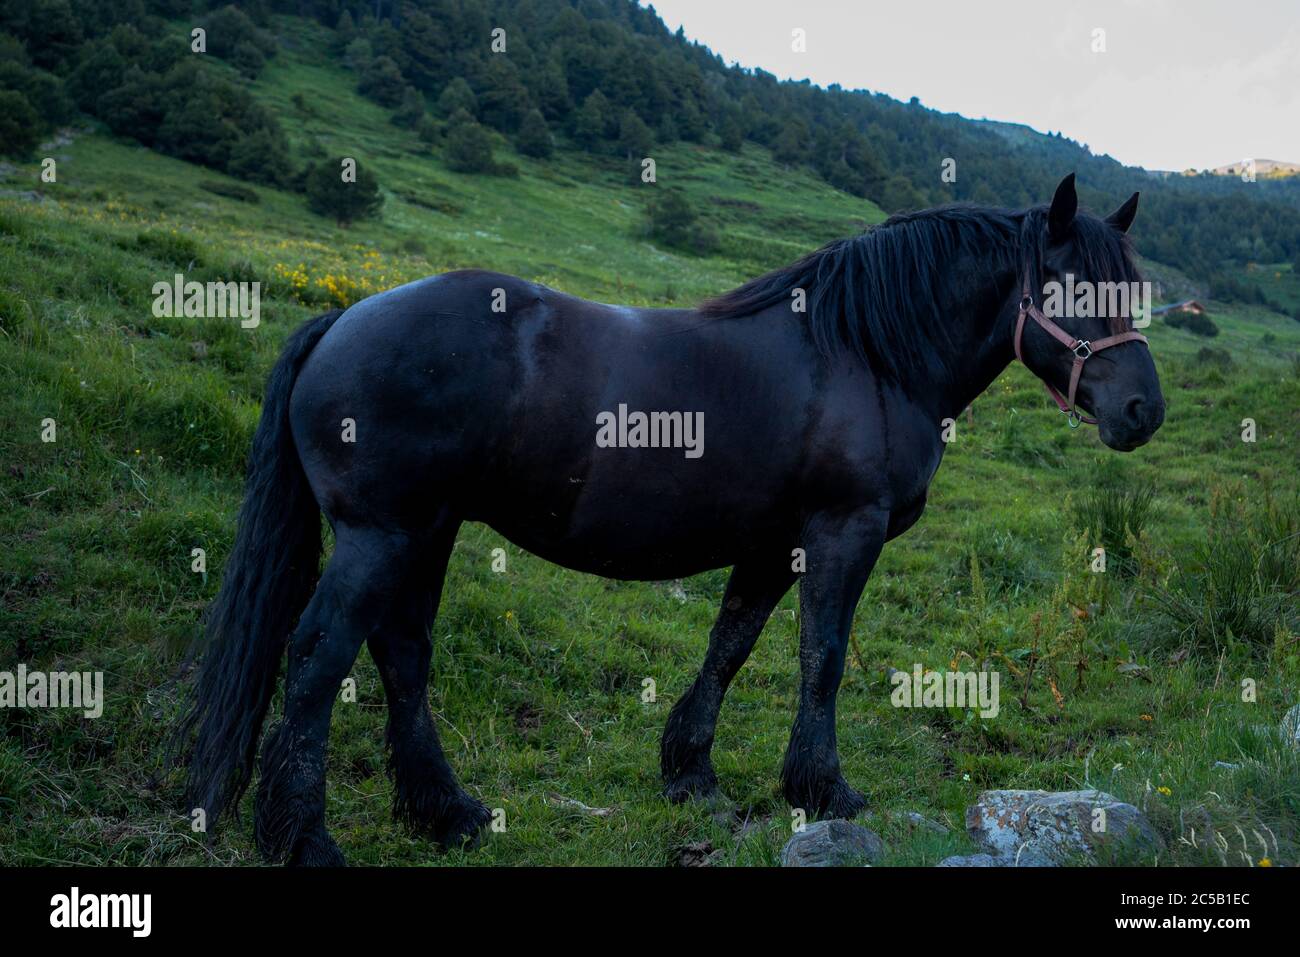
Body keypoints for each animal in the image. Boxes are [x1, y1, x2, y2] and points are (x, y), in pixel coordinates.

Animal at [175, 173, 1164, 865]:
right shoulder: (841, 533)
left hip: (426, 531)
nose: (1142, 411)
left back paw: (448, 813)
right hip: (384, 534)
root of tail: (344, 317)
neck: (864, 351)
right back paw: (307, 839)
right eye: (1072, 288)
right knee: (317, 659)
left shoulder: (773, 545)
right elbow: (823, 656)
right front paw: (824, 788)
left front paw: (691, 775)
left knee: (402, 654)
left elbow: (731, 646)